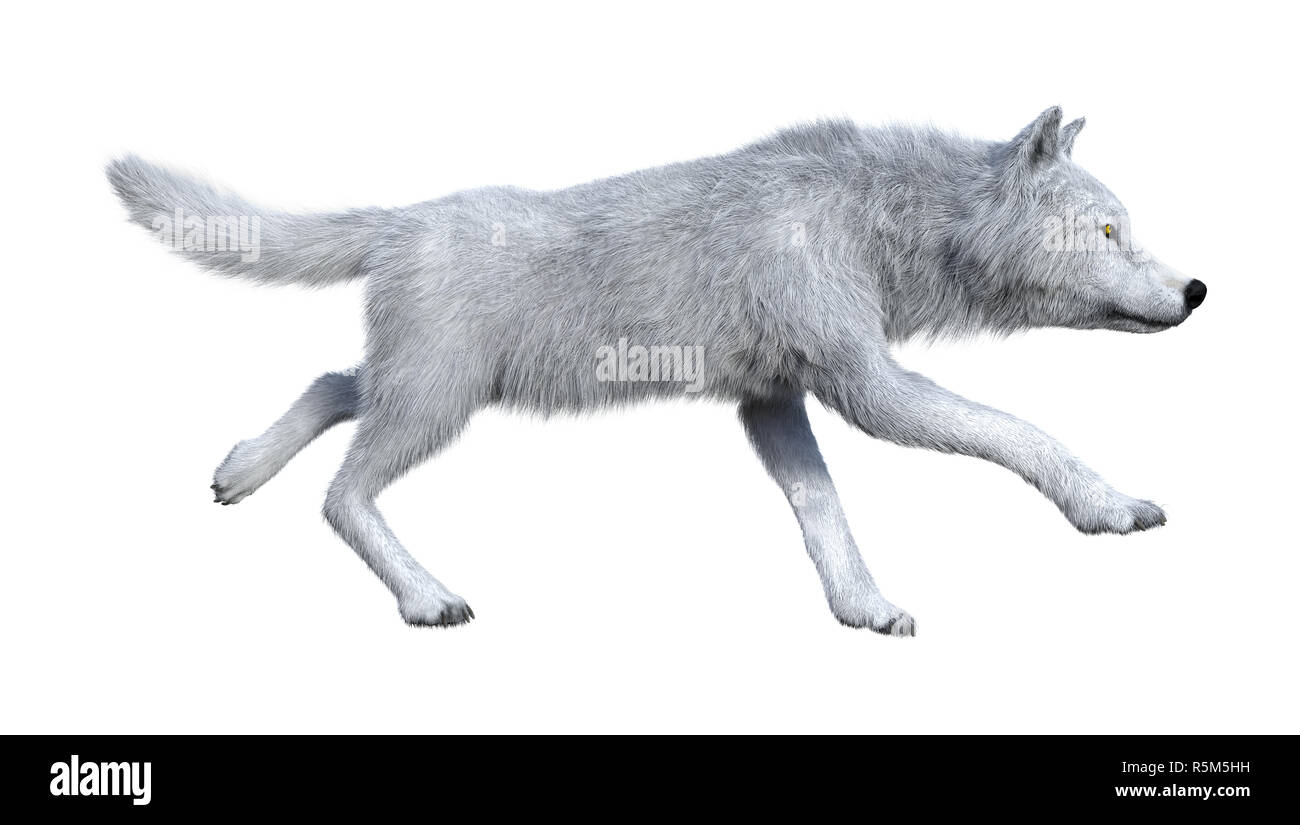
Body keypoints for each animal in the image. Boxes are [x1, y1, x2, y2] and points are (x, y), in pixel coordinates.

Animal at [107, 107, 1206, 636]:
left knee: (333, 387)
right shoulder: (868, 390)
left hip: (427, 391)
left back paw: (241, 469)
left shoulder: (774, 401)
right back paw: (426, 599)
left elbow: (825, 516)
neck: (877, 219)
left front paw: (862, 609)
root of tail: (400, 218)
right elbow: (1022, 431)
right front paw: (1107, 505)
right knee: (341, 495)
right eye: (1109, 232)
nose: (1197, 289)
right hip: (437, 408)